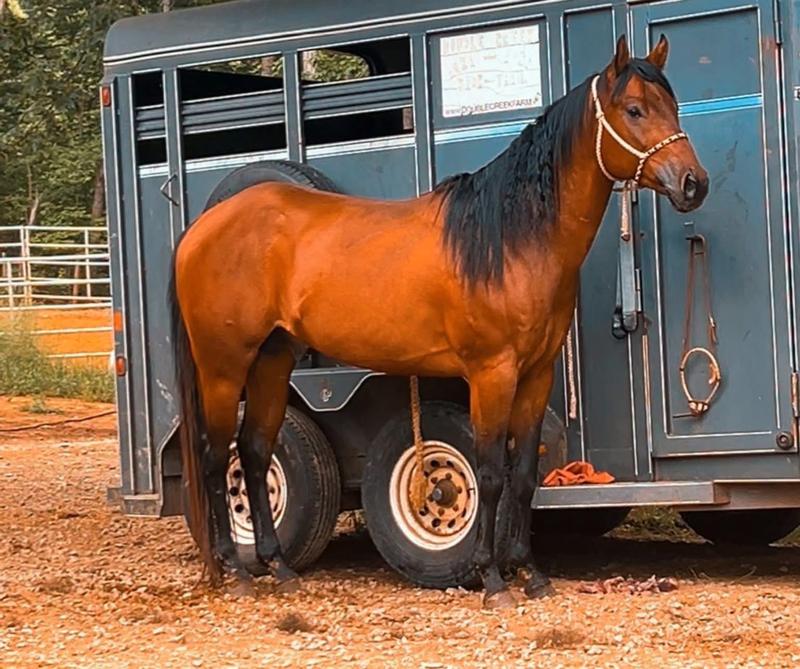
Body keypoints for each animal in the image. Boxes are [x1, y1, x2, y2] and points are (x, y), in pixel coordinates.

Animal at [169, 34, 708, 607]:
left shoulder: (536, 376)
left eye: (672, 104)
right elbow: (490, 473)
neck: (510, 239)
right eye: (634, 110)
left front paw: (531, 573)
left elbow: (523, 476)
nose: (694, 183)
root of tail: (202, 227)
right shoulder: (492, 374)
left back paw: (280, 568)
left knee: (254, 451)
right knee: (215, 457)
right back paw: (237, 572)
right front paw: (492, 579)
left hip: (272, 360)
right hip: (223, 367)